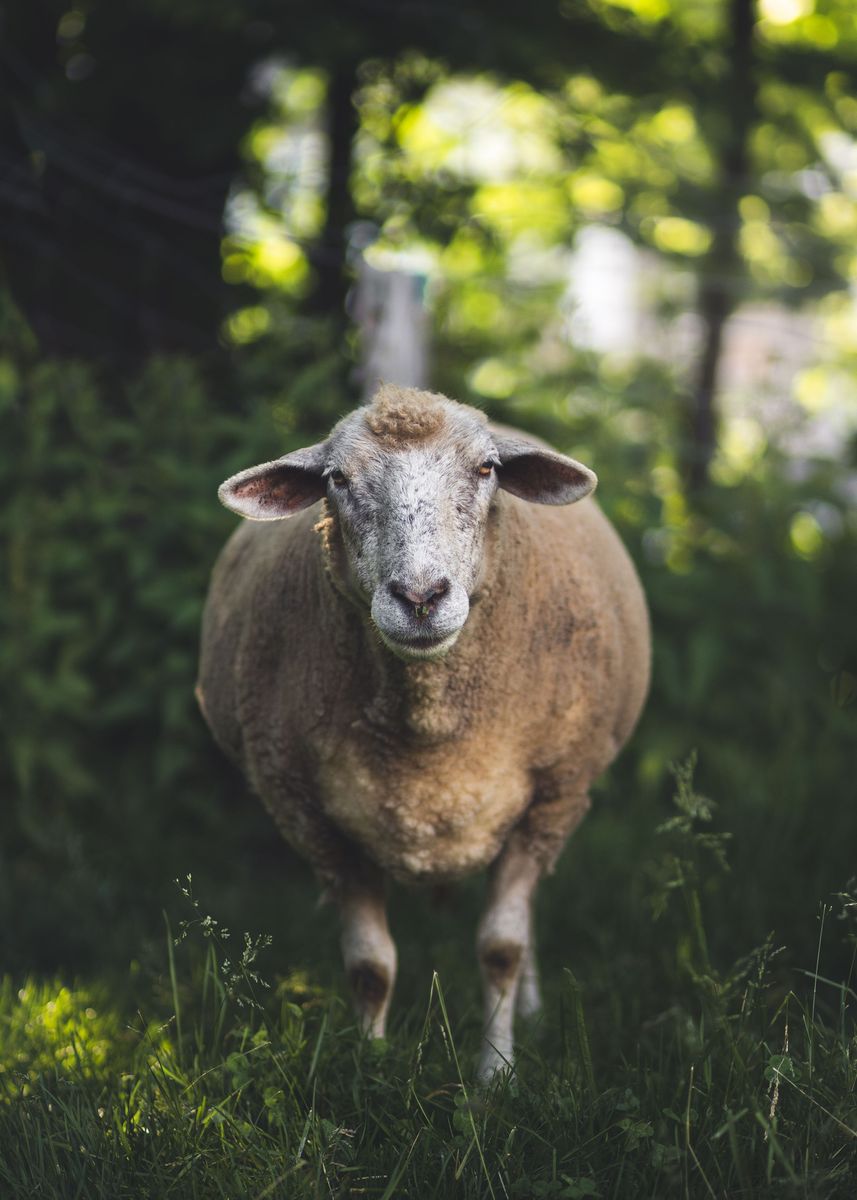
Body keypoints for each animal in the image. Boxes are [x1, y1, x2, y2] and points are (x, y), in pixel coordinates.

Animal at [197, 384, 650, 1080]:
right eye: (336, 479)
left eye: (487, 469)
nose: (419, 597)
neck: (427, 733)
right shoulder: (315, 821)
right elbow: (371, 966)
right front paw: (372, 1068)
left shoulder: (552, 798)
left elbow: (501, 948)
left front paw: (497, 1074)